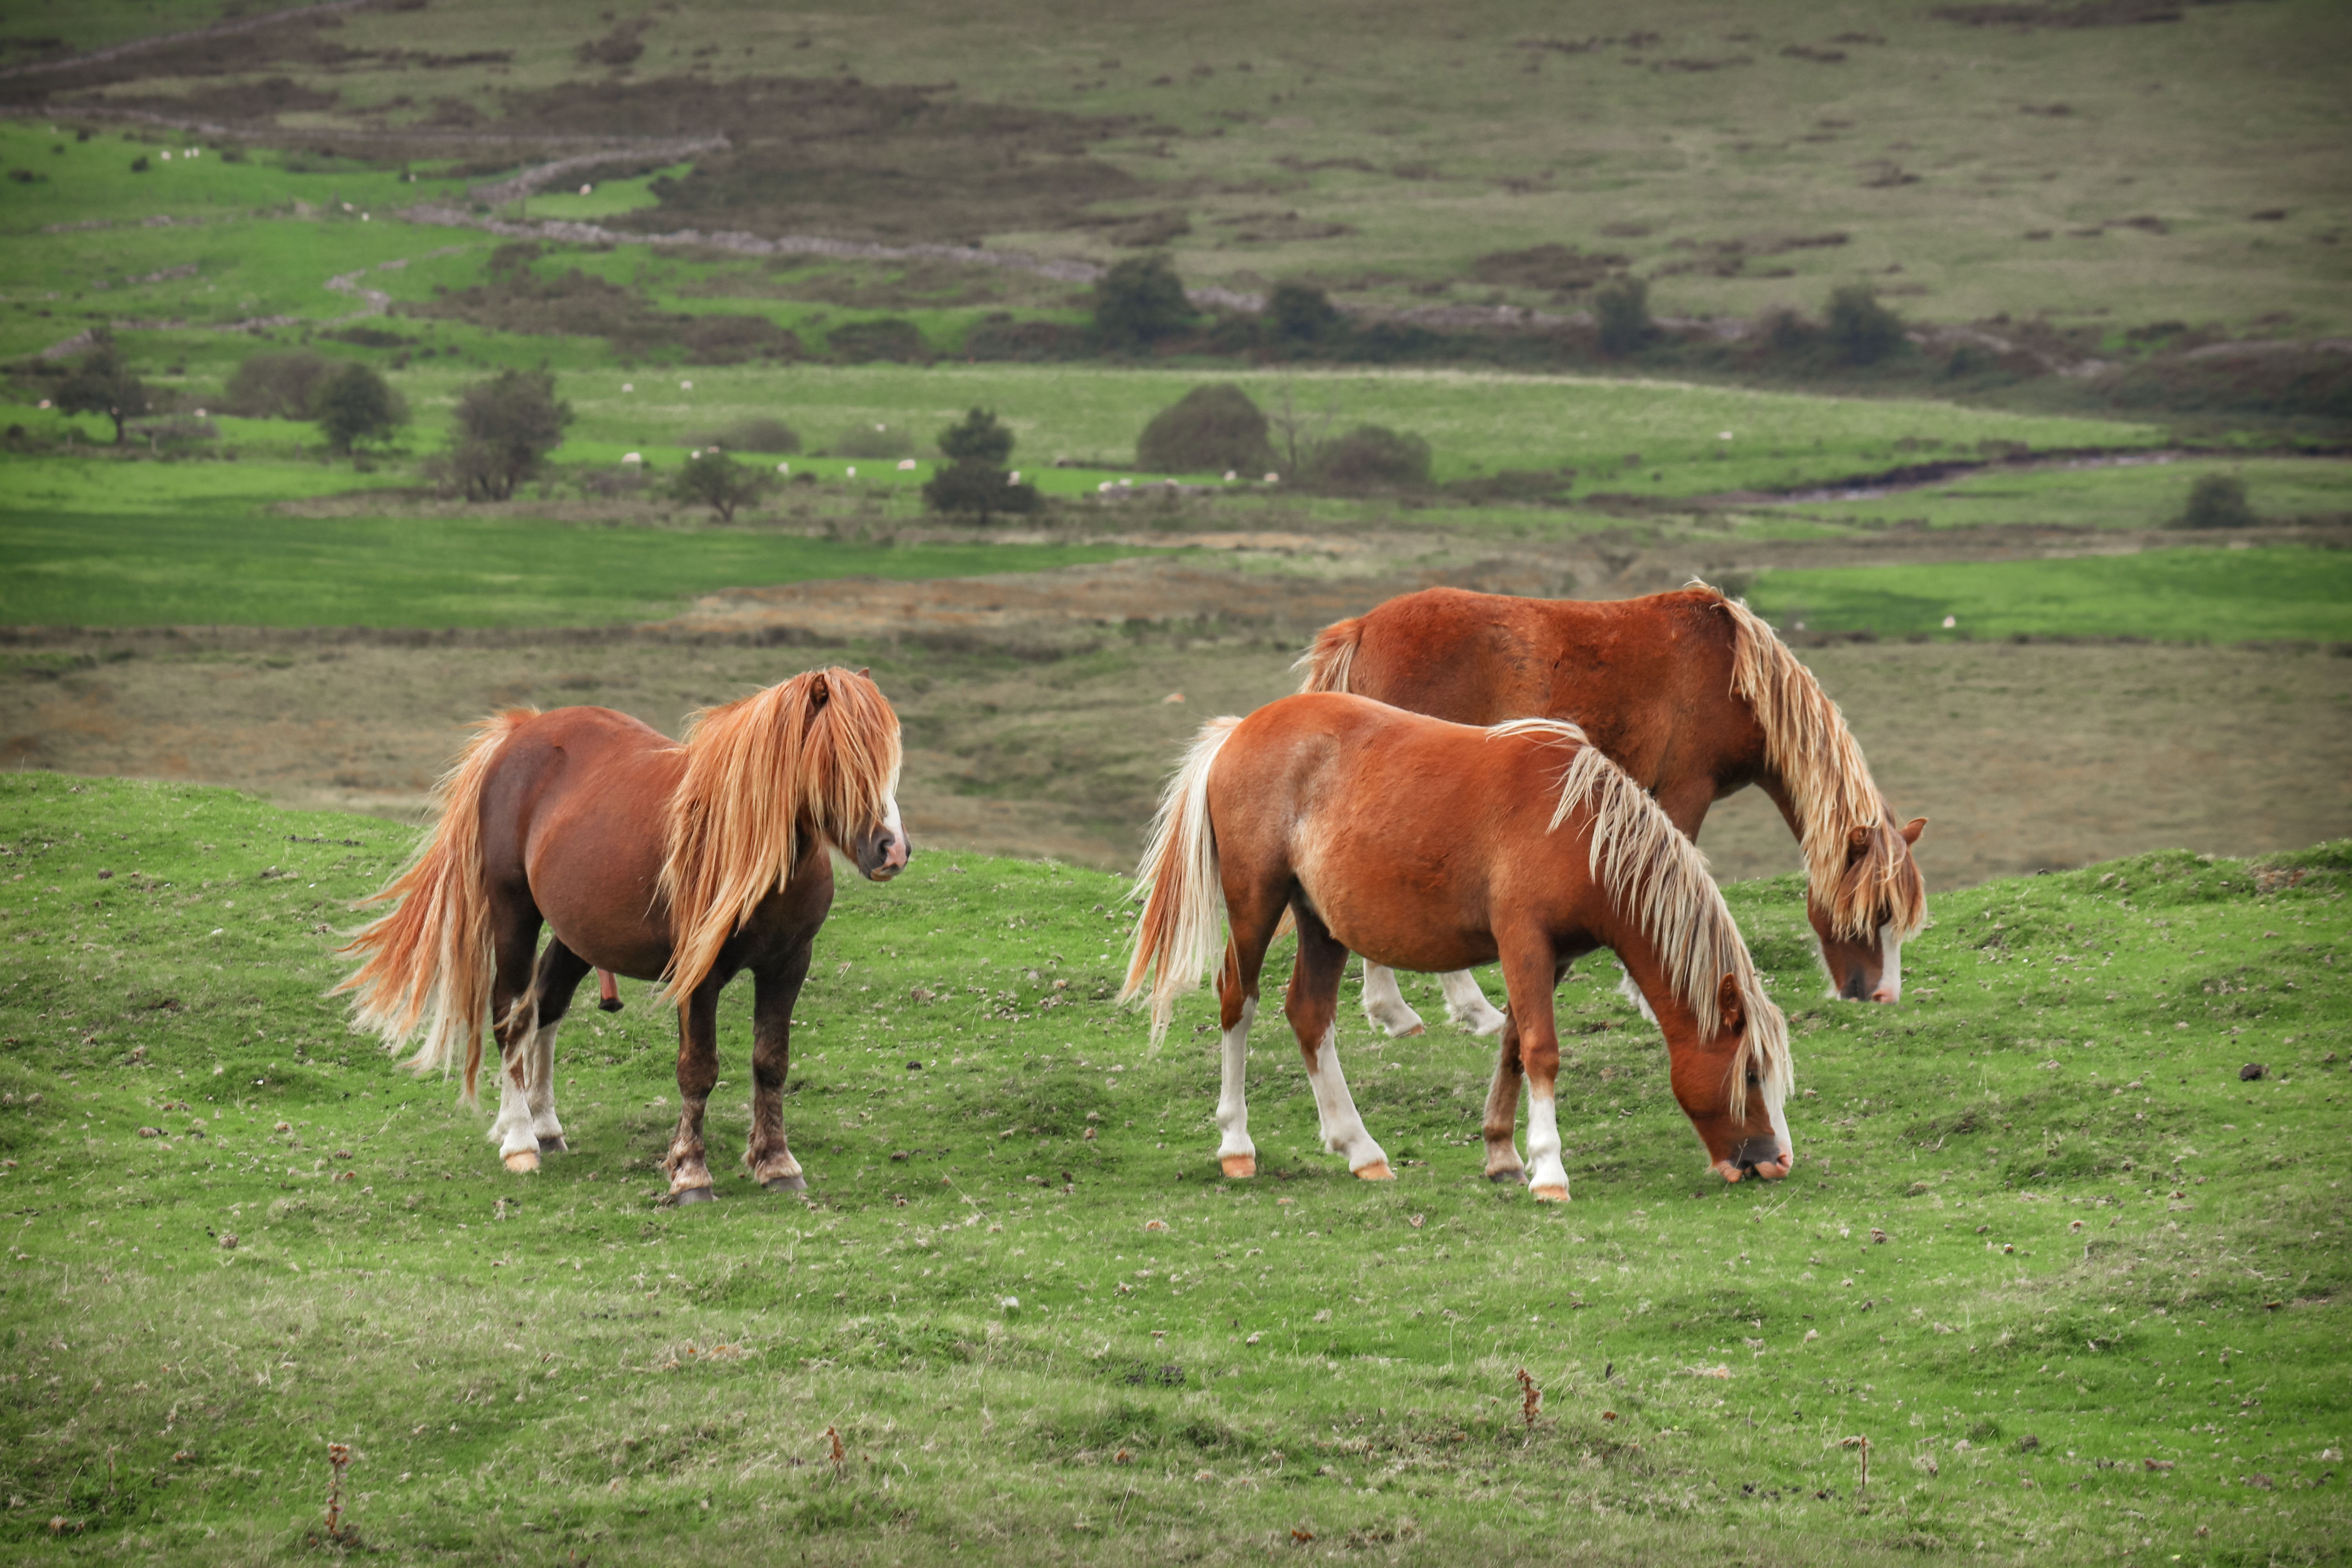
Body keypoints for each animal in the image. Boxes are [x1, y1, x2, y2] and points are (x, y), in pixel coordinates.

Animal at [335, 667, 907, 1202]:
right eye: (842, 756)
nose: (893, 849)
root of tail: (522, 732)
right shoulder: (698, 974)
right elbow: (698, 1069)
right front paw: (690, 1174)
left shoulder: (788, 965)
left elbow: (771, 1063)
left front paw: (776, 1164)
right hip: (513, 914)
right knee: (512, 1013)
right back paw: (520, 1139)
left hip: (578, 932)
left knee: (548, 1003)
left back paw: (545, 1127)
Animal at [1121, 692, 1793, 1196]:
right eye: (1750, 1073)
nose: (1775, 1161)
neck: (1581, 828)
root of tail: (1239, 731)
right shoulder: (1524, 943)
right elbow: (1542, 1050)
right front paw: (1550, 1171)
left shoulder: (1552, 959)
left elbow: (1514, 1045)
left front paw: (1502, 1155)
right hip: (1255, 904)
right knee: (1238, 1002)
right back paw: (1237, 1144)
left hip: (1321, 923)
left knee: (1310, 1015)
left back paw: (1360, 1149)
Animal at [1296, 584, 1925, 1038]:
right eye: (1875, 912)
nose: (1882, 996)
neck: (1735, 673)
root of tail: (1361, 629)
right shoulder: (1686, 791)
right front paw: (1650, 998)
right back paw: (1421, 1011)